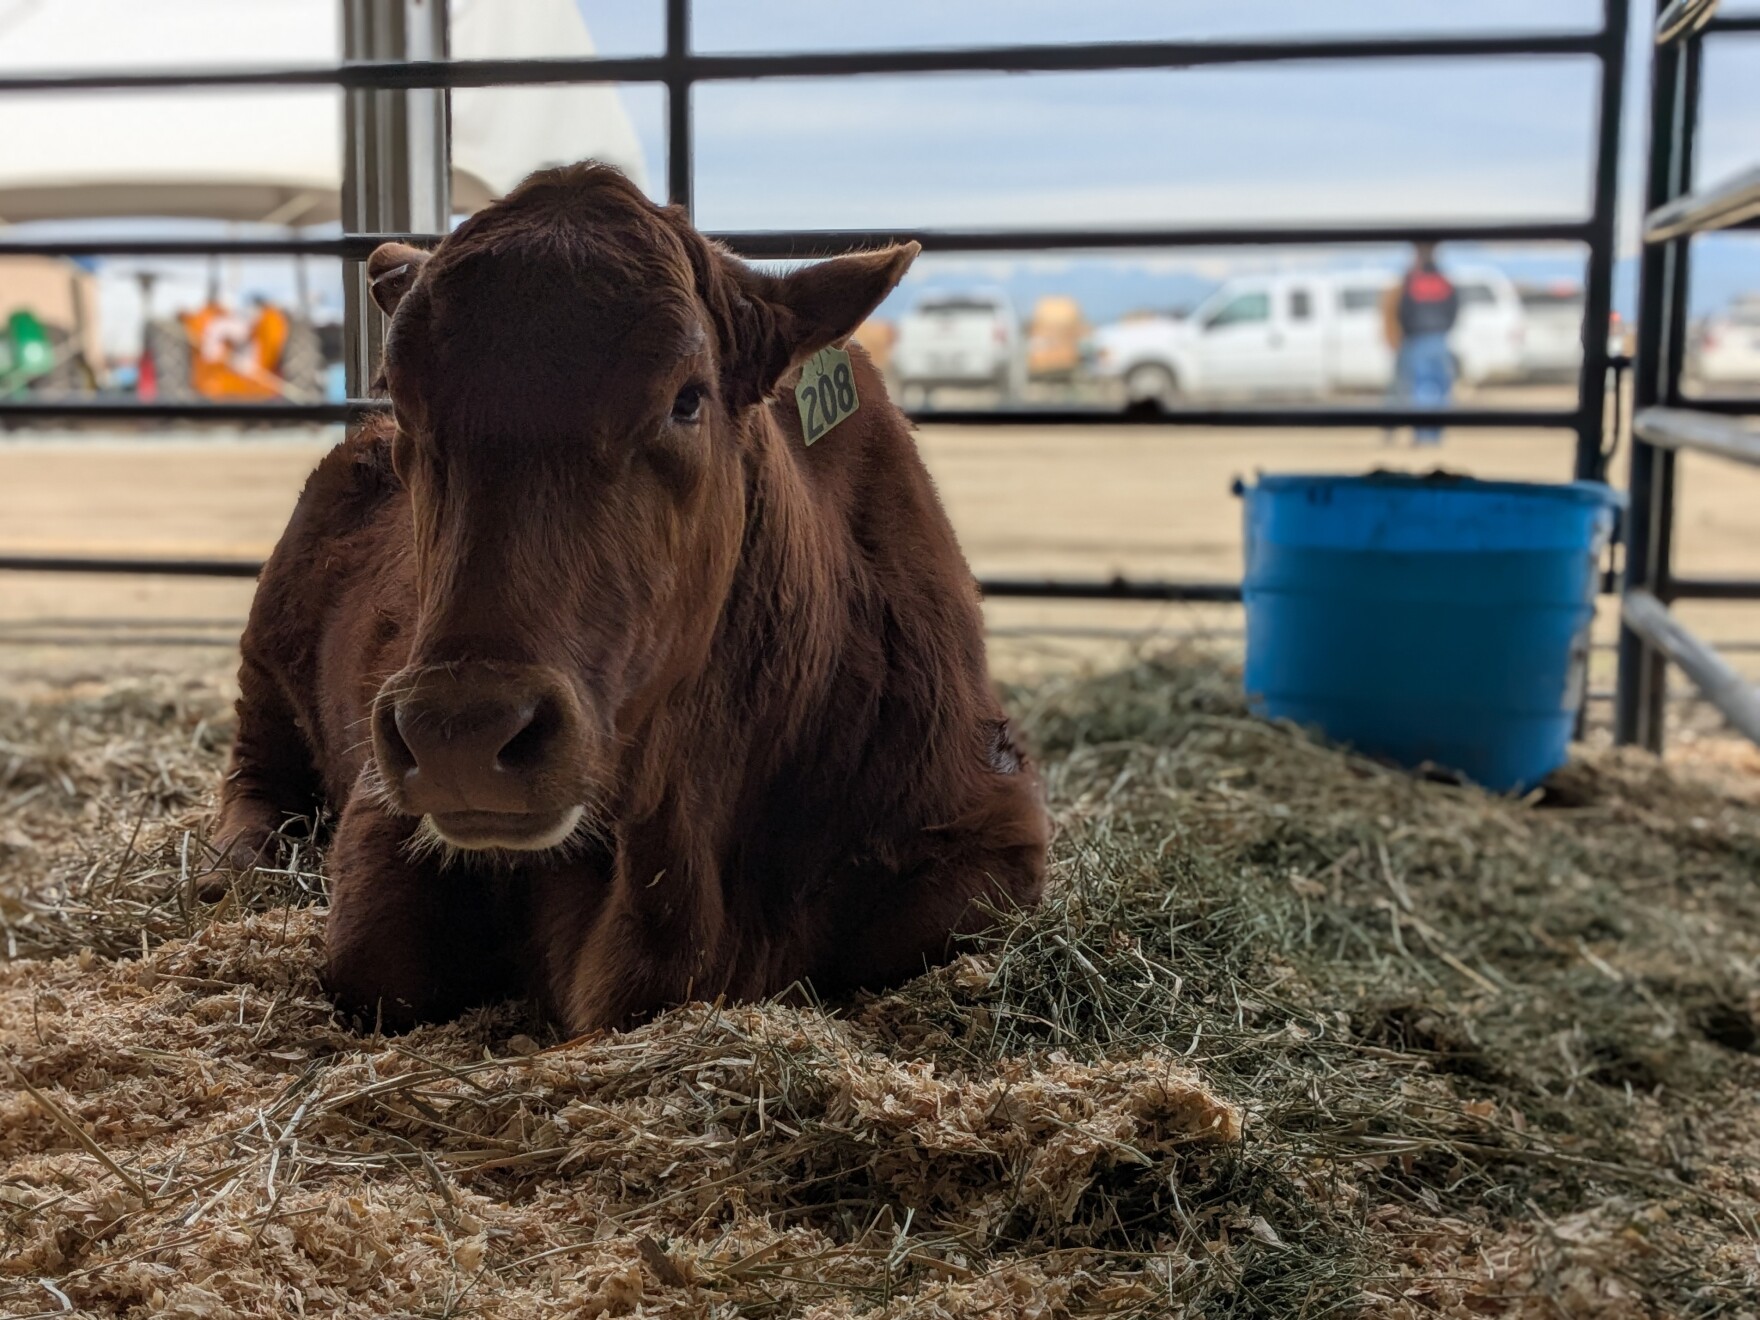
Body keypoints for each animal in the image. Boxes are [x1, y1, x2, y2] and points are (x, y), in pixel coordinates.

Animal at [213, 163, 1049, 1034]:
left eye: (687, 398)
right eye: (403, 402)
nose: (460, 736)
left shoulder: (992, 833)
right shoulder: (387, 801)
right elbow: (378, 962)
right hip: (263, 661)